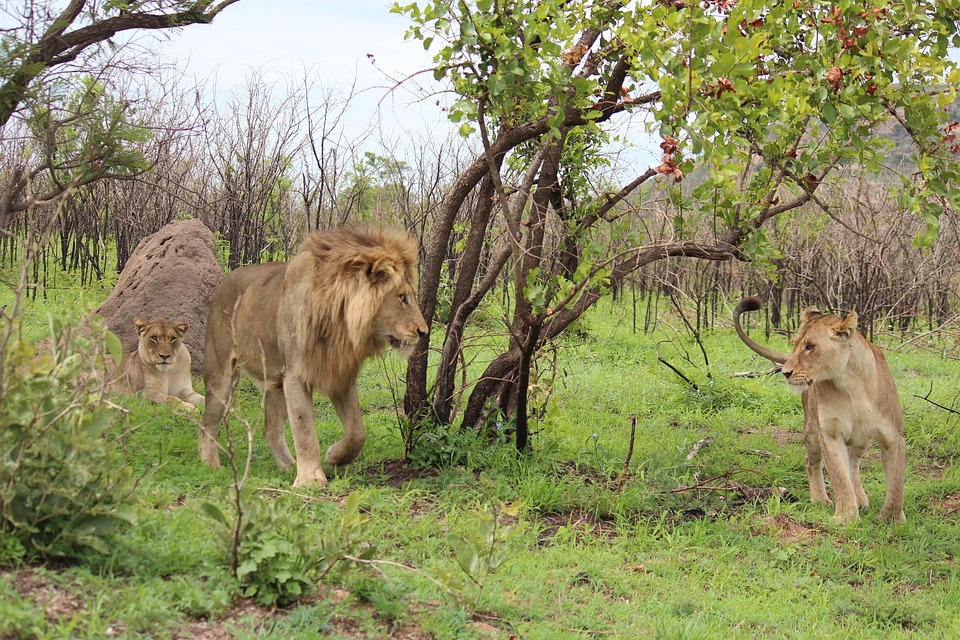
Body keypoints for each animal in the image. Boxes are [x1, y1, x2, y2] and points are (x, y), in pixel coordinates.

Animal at [199, 225, 428, 487]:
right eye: (402, 298)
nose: (423, 332)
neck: (341, 327)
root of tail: (223, 282)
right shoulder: (296, 375)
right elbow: (304, 429)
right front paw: (309, 479)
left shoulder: (340, 376)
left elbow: (357, 432)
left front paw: (334, 456)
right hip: (222, 377)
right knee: (207, 423)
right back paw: (211, 465)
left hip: (275, 383)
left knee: (271, 429)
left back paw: (289, 466)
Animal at [733, 297, 906, 523]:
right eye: (795, 345)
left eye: (809, 346)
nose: (786, 372)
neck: (851, 386)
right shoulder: (830, 434)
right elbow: (840, 478)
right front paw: (846, 517)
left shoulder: (893, 436)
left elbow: (896, 484)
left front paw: (893, 520)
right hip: (812, 430)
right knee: (811, 461)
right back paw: (820, 498)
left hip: (862, 439)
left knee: (854, 463)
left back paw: (860, 497)